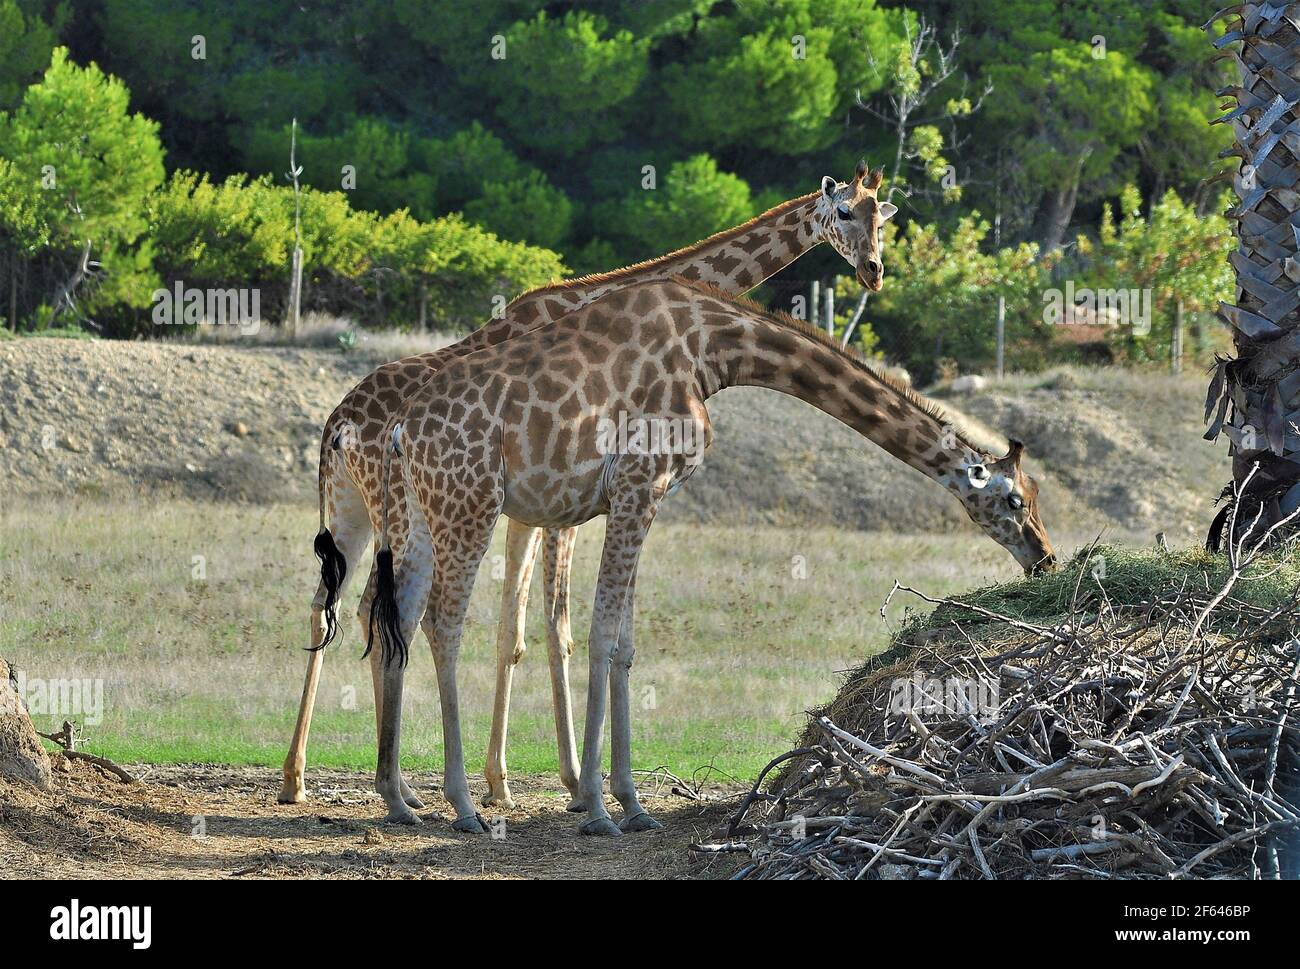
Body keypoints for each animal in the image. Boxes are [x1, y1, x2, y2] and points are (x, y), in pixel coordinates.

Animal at [279, 161, 899, 807]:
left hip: (354, 513)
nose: (873, 270)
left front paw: (504, 781)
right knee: (378, 609)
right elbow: (554, 628)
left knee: (338, 604)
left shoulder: (530, 508)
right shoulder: (551, 502)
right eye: (844, 212)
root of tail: (337, 425)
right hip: (399, 511)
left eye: (883, 220)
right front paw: (572, 779)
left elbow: (515, 631)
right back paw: (371, 783)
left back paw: (320, 778)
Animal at [366, 277, 1056, 833]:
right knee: (444, 622)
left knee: (401, 615)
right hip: (470, 501)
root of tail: (403, 430)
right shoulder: (637, 484)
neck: (717, 349)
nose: (1044, 558)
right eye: (1016, 500)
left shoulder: (644, 497)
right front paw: (596, 808)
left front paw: (631, 803)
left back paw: (399, 801)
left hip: (421, 513)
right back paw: (463, 806)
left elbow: (625, 643)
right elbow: (600, 633)